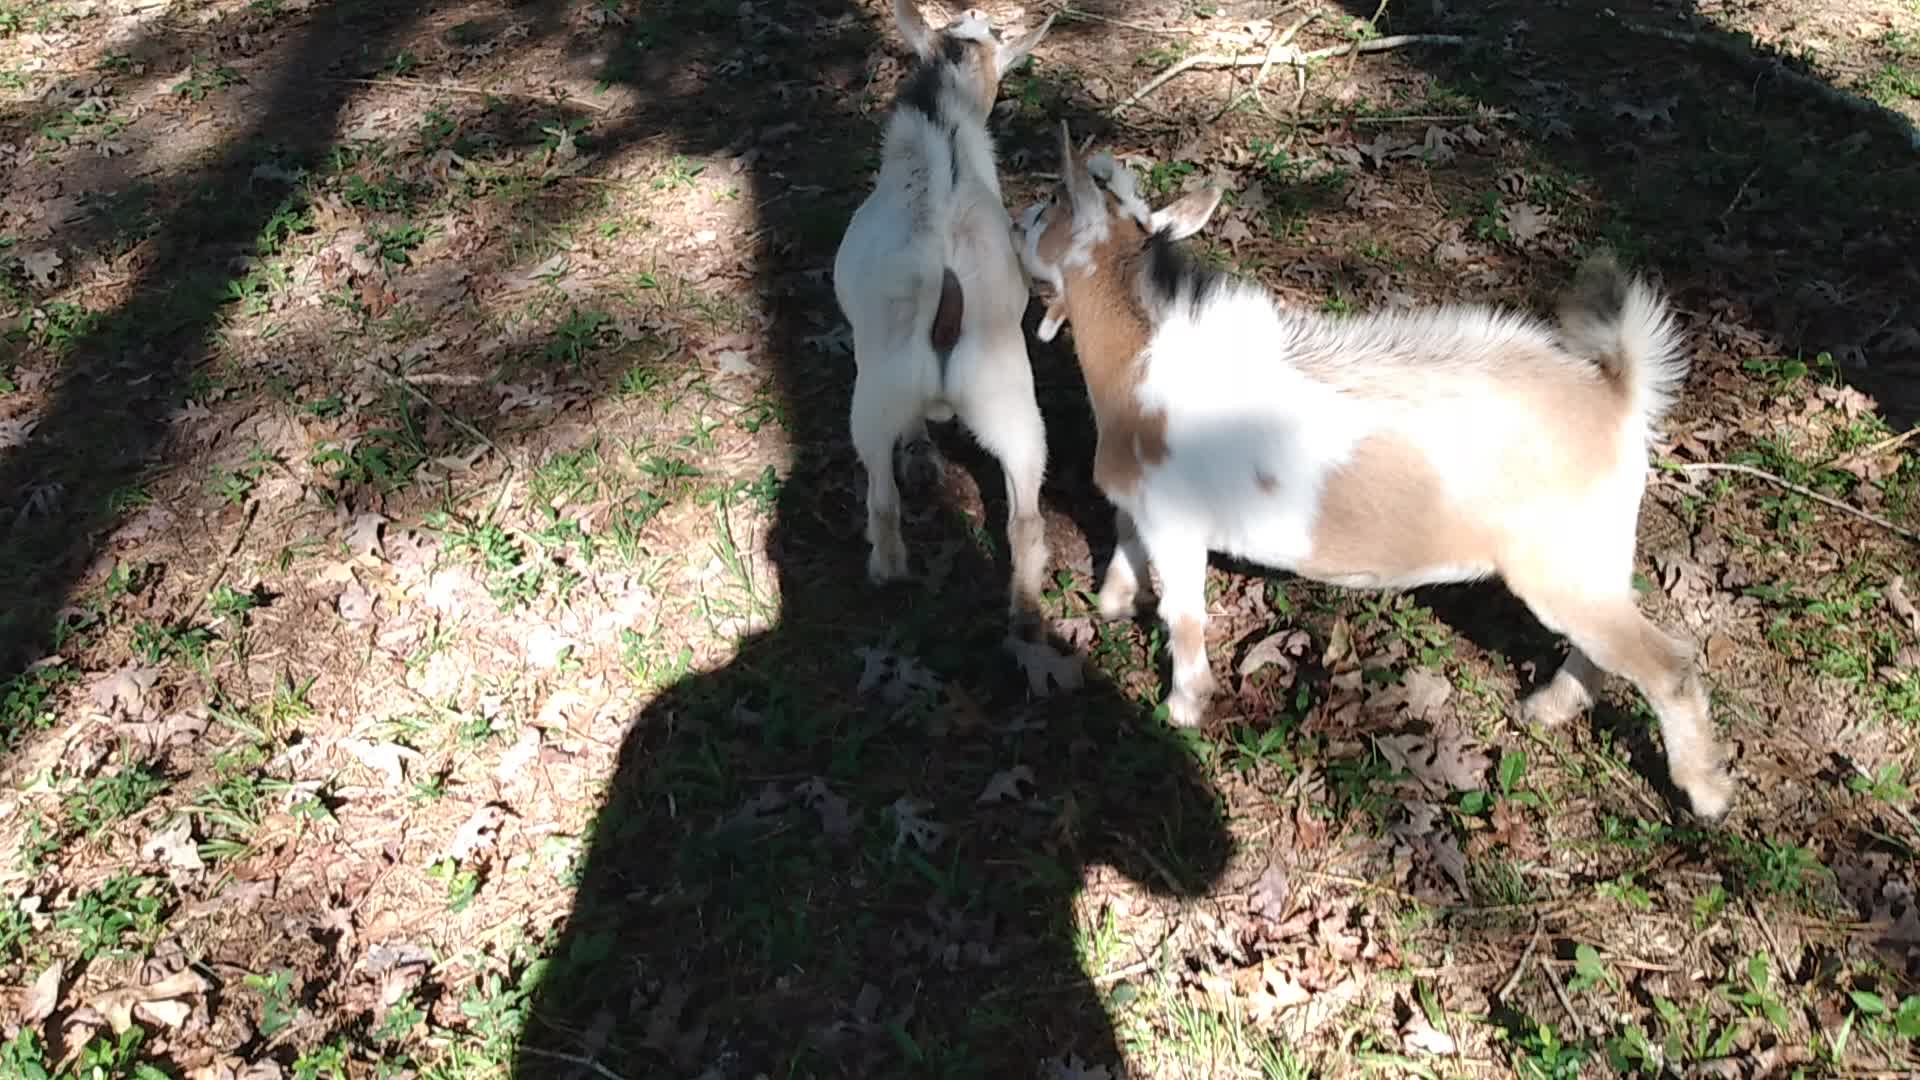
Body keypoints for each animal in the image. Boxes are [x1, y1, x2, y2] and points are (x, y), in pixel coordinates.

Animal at [831, 1, 1054, 625]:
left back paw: (886, 572)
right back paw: (1025, 611)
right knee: (1024, 515)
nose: (975, 11)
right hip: (1010, 408)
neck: (944, 122)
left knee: (882, 496)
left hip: (877, 396)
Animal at [1010, 122, 1734, 820]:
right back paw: (1547, 709)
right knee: (1603, 648)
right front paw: (1112, 603)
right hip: (1590, 564)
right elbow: (1125, 543)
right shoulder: (1144, 505)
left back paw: (1706, 795)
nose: (1016, 222)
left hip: (1561, 565)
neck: (1140, 353)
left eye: (1049, 203)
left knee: (1666, 664)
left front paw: (1183, 707)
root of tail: (1615, 393)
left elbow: (1183, 615)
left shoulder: (1177, 526)